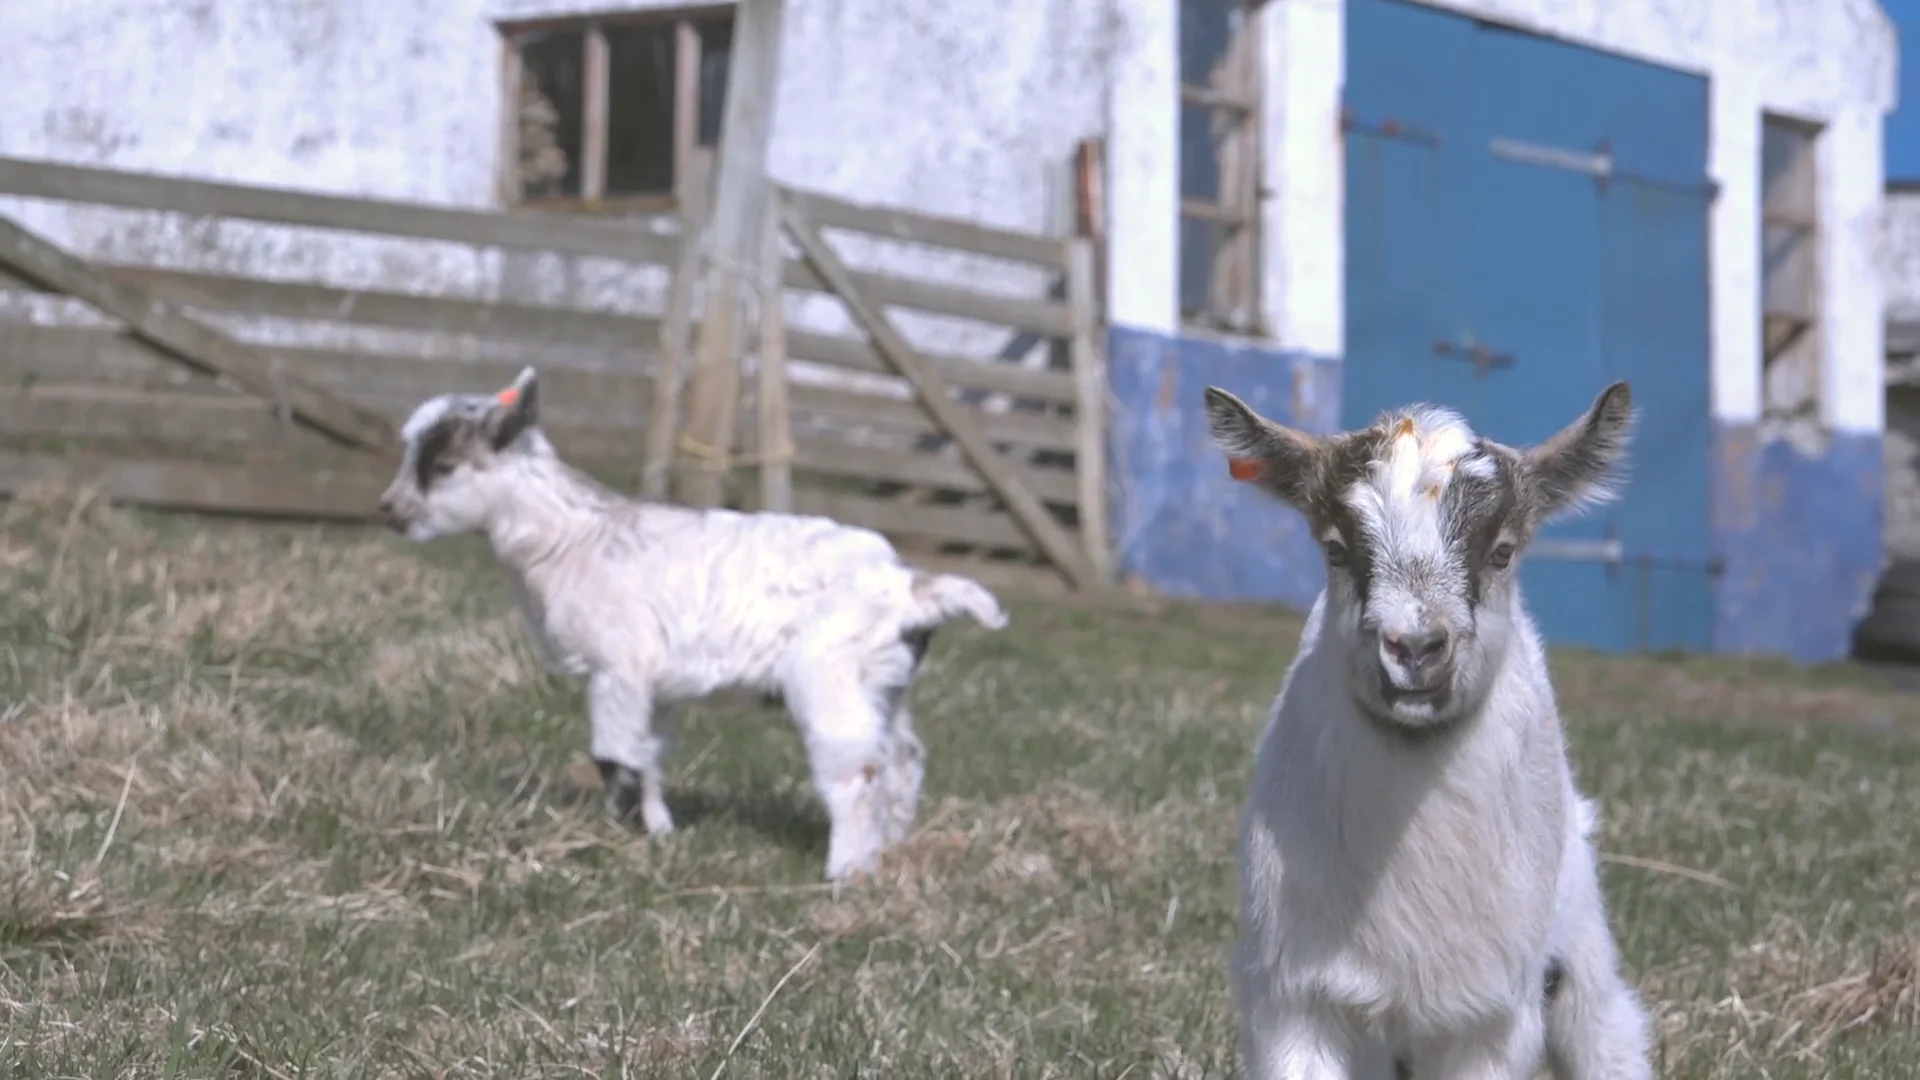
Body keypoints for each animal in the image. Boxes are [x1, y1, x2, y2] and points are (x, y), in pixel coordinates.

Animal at [376, 366, 1009, 882]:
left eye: (443, 467)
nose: (388, 511)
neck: (572, 537)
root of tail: (910, 588)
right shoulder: (654, 688)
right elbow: (648, 757)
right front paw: (658, 833)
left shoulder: (619, 668)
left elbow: (616, 757)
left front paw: (620, 834)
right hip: (883, 684)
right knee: (904, 760)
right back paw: (891, 850)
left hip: (832, 679)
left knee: (858, 772)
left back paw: (846, 872)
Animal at [1203, 381, 1654, 1079]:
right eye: (1335, 549)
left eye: (1502, 551)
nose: (1414, 648)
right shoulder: (1291, 997)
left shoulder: (1492, 1017)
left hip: (1581, 950)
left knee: (1611, 1035)